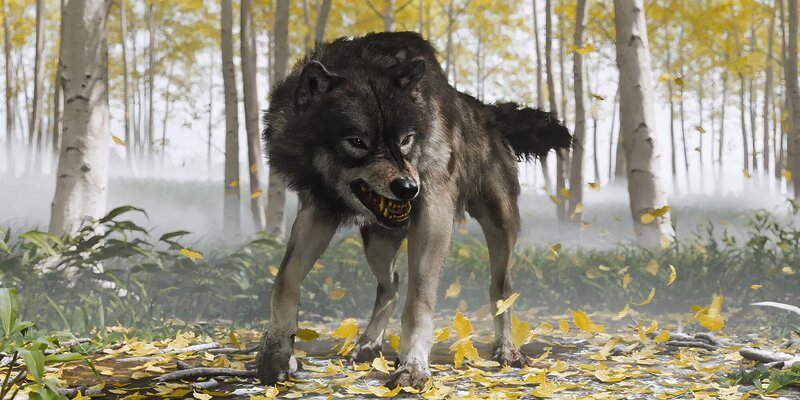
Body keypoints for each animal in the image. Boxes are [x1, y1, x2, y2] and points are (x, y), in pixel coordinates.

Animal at [256, 31, 571, 389]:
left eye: (406, 140)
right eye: (358, 142)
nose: (408, 188)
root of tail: (484, 109)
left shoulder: (434, 209)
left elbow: (419, 301)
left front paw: (412, 367)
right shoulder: (318, 211)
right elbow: (285, 280)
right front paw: (276, 355)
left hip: (500, 229)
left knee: (501, 289)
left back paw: (506, 350)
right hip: (377, 245)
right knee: (390, 283)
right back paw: (368, 344)